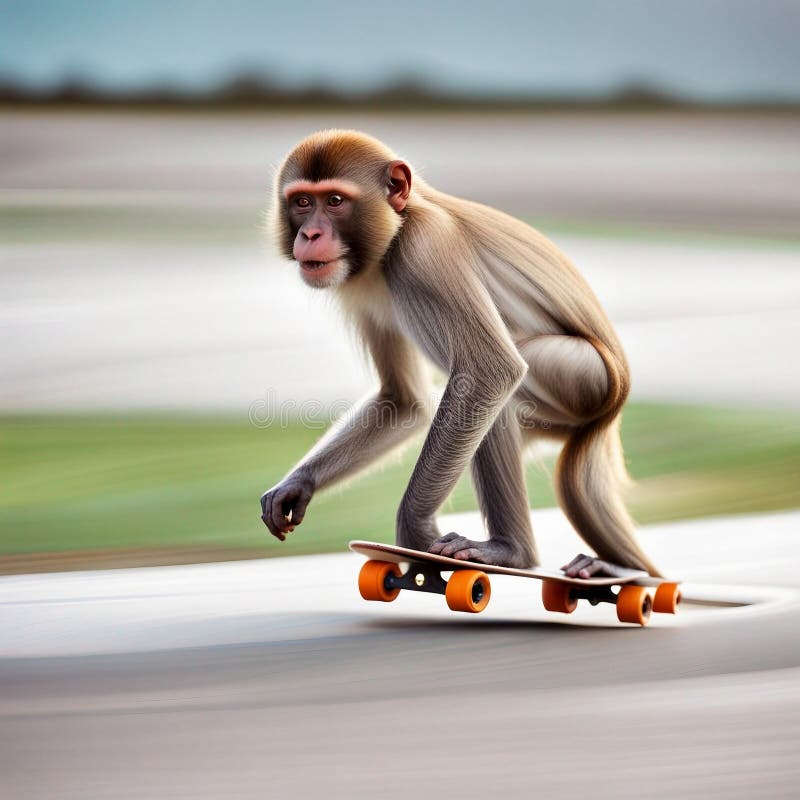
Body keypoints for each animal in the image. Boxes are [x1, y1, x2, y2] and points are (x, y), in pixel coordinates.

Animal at [260, 129, 660, 579]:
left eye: (334, 201)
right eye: (302, 202)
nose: (310, 235)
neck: (395, 235)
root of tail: (618, 395)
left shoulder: (425, 248)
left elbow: (490, 370)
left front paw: (415, 529)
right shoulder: (358, 285)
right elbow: (402, 401)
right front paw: (299, 484)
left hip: (587, 379)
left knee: (500, 390)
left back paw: (516, 553)